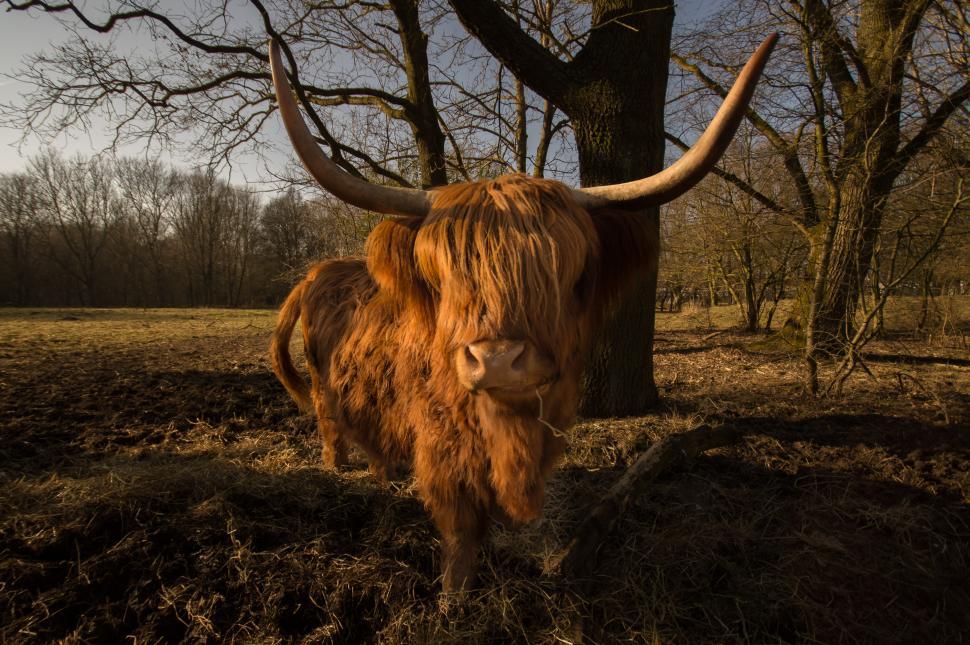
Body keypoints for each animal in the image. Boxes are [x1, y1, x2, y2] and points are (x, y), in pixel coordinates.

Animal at [268, 35, 777, 593]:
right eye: (442, 277)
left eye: (567, 272)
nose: (496, 361)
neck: (507, 432)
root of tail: (316, 273)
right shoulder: (442, 451)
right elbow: (460, 528)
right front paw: (454, 595)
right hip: (324, 386)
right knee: (331, 423)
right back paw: (338, 471)